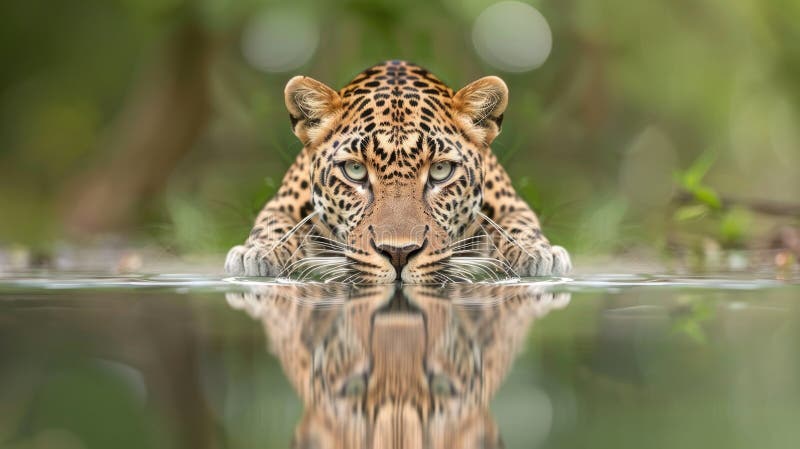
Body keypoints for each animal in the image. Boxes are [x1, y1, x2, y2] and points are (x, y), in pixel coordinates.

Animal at [225, 60, 571, 283]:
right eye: (355, 170)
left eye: (441, 171)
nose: (399, 254)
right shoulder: (283, 203)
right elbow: (274, 225)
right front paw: (256, 253)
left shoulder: (510, 204)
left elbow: (518, 225)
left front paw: (538, 253)